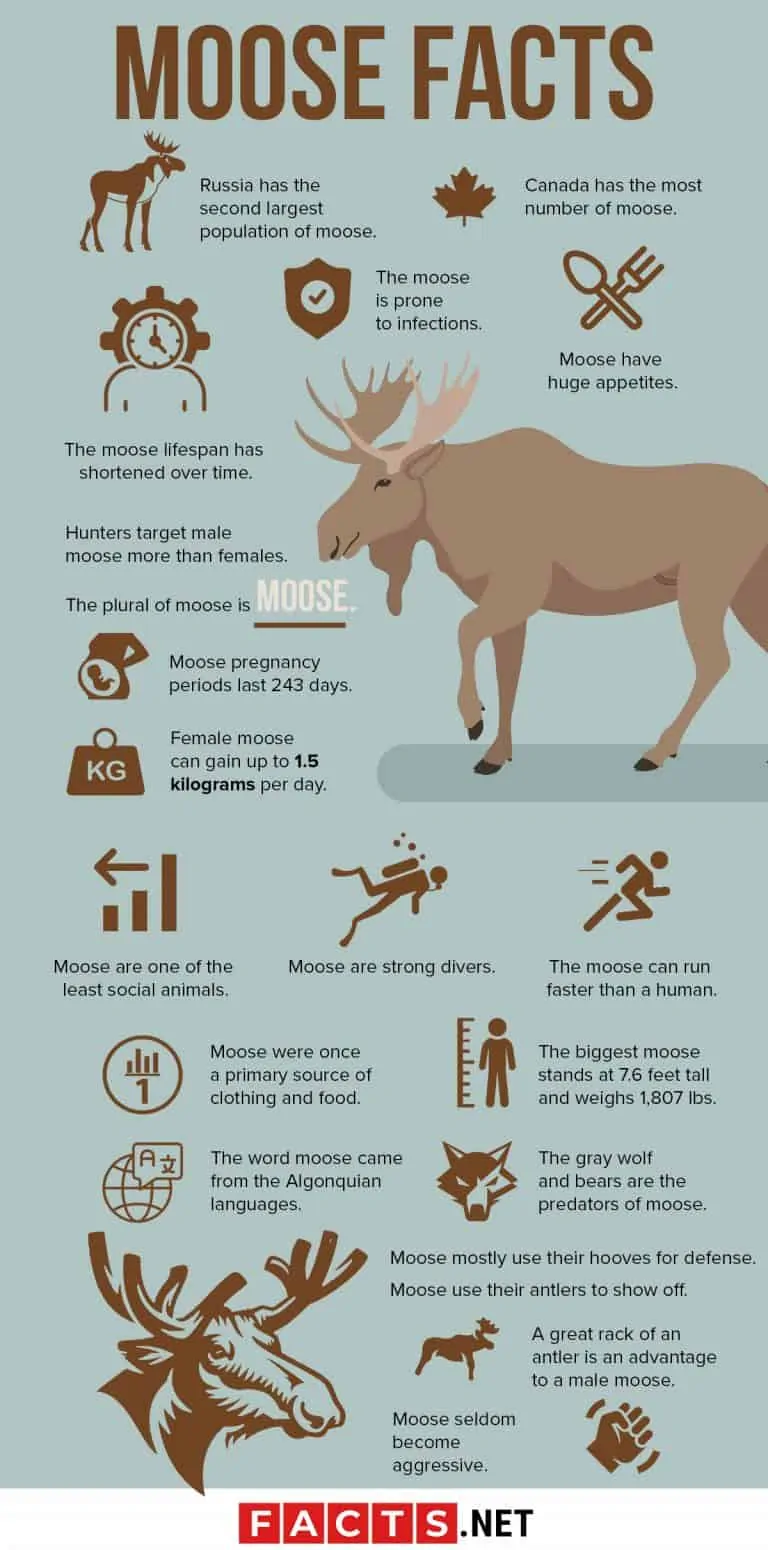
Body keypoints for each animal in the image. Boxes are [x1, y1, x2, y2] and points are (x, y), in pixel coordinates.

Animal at [297, 363, 768, 775]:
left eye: (385, 481)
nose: (325, 535)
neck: (452, 519)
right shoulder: (512, 607)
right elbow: (509, 676)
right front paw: (495, 755)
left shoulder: (520, 589)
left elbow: (465, 631)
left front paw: (473, 718)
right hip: (746, 595)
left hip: (705, 586)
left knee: (714, 662)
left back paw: (655, 751)